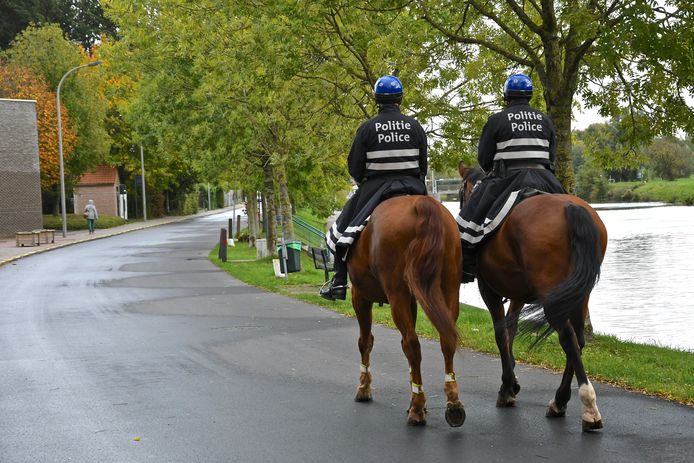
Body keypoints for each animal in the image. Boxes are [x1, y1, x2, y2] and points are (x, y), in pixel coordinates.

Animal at [346, 194, 464, 427]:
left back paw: (417, 408)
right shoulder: (411, 300)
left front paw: (364, 387)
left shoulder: (360, 296)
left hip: (396, 295)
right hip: (449, 288)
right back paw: (452, 402)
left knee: (412, 344)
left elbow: (365, 341)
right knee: (446, 340)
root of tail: (421, 203)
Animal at [459, 165, 608, 432]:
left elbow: (501, 333)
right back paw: (561, 400)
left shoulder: (488, 289)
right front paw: (512, 382)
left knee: (568, 338)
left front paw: (508, 388)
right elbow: (511, 330)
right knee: (578, 339)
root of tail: (572, 208)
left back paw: (587, 407)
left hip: (554, 296)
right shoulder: (518, 294)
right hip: (580, 295)